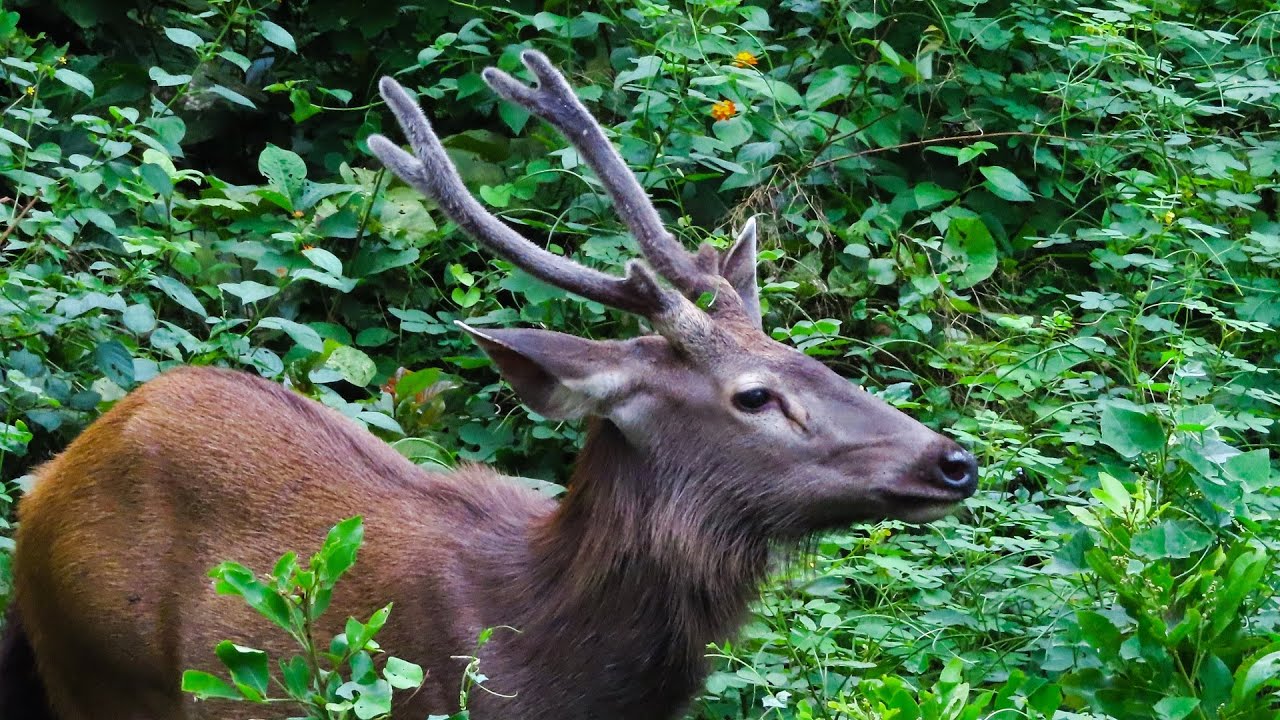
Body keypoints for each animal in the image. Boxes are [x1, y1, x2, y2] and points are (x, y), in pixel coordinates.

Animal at [0, 50, 978, 720]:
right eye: (753, 395)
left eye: (811, 358)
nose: (953, 461)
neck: (548, 669)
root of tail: (50, 477)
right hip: (98, 669)